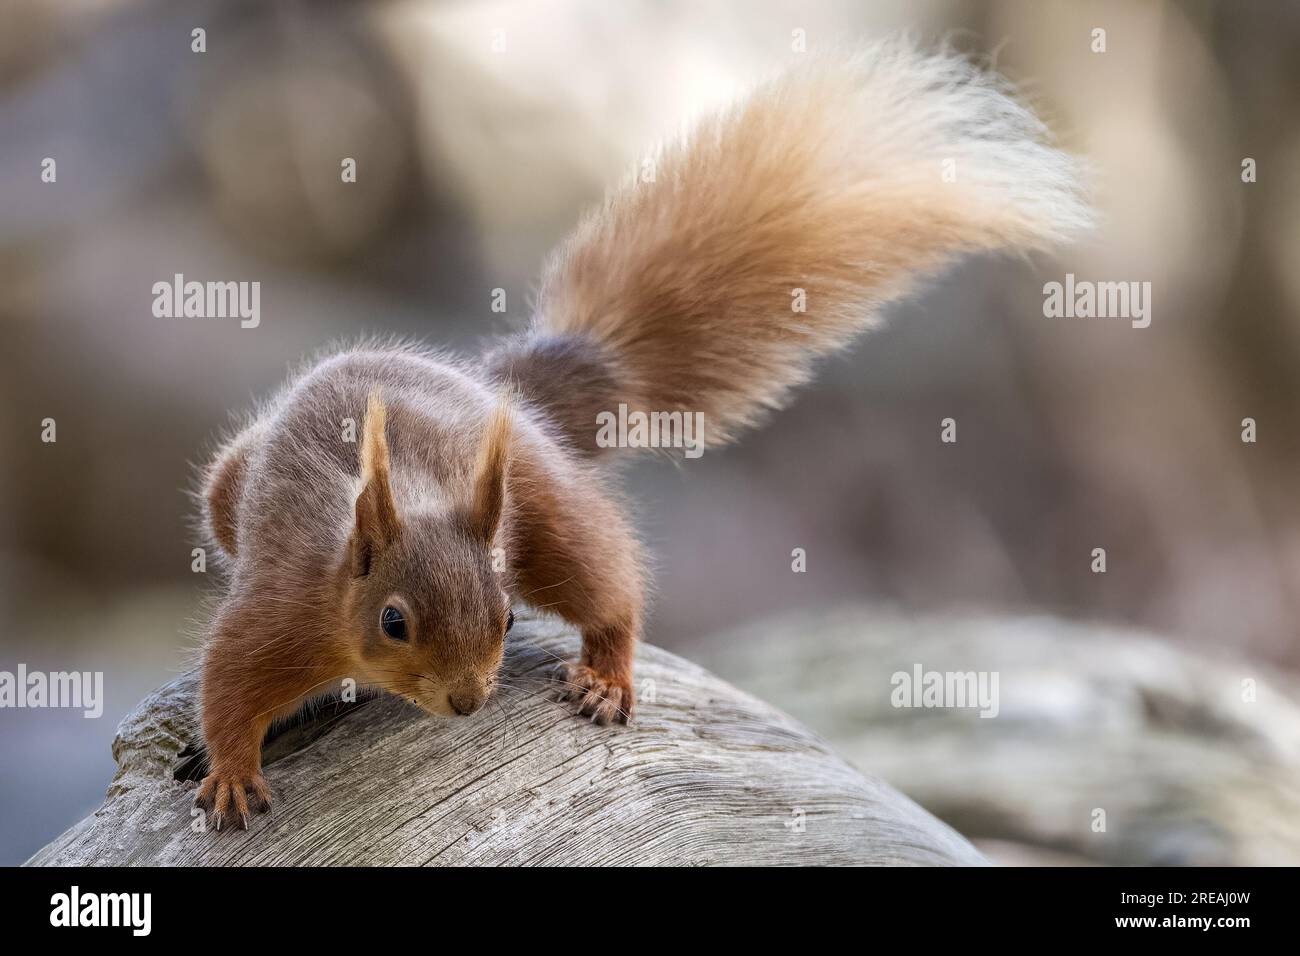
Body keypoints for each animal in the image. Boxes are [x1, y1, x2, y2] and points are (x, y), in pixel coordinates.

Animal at [193, 39, 1090, 828]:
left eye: (508, 618)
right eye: (392, 622)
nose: (467, 700)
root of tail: (498, 390)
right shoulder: (286, 603)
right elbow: (228, 683)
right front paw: (232, 773)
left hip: (544, 500)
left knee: (608, 578)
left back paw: (606, 675)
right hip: (229, 489)